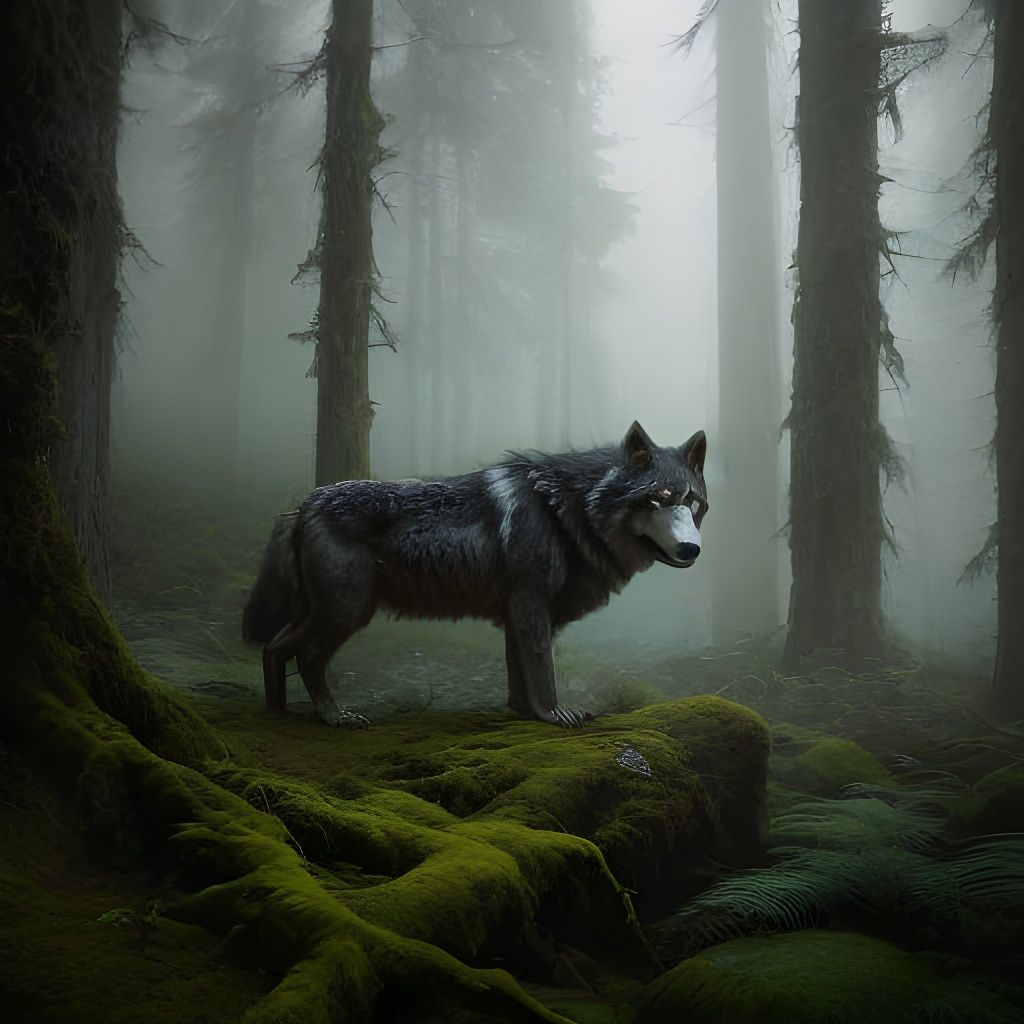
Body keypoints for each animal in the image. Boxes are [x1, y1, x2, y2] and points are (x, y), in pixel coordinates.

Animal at [243, 422, 708, 728]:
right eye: (659, 498)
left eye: (694, 503)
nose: (692, 550)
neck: (564, 509)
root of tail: (304, 504)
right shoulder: (530, 604)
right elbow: (542, 670)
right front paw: (554, 715)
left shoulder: (518, 612)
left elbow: (519, 672)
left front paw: (522, 713)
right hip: (348, 610)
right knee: (305, 657)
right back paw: (335, 716)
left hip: (325, 610)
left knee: (274, 648)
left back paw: (275, 711)